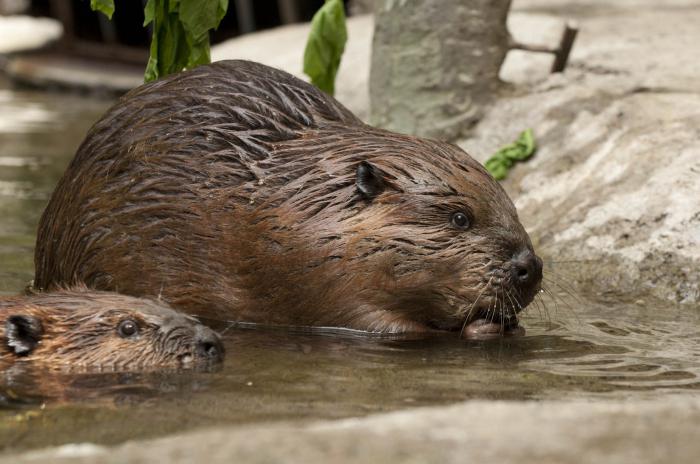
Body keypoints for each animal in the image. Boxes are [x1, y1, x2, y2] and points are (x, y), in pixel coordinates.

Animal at [32, 59, 540, 338]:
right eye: (459, 218)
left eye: (513, 207)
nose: (529, 267)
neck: (304, 199)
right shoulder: (316, 277)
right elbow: (387, 326)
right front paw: (483, 327)